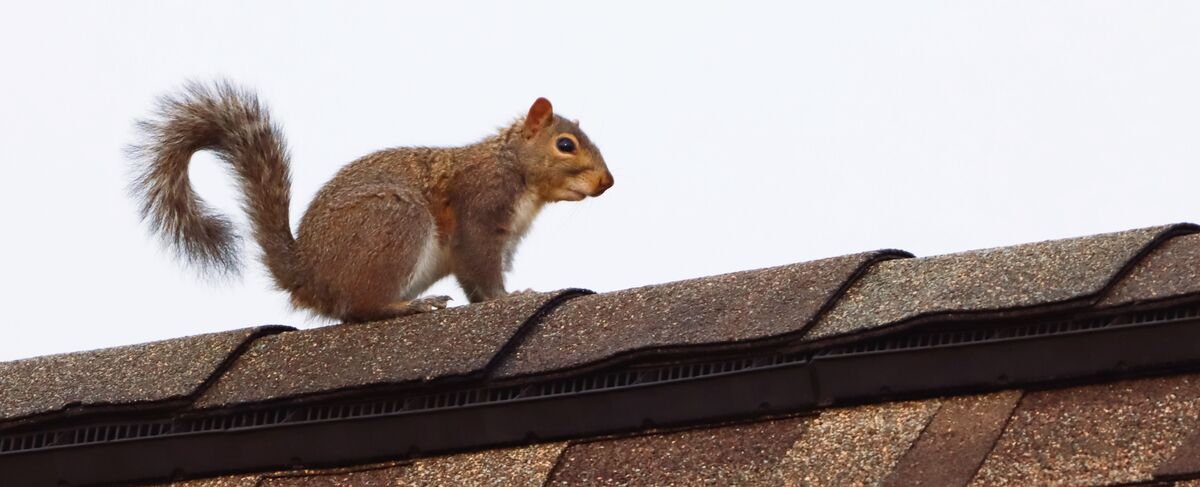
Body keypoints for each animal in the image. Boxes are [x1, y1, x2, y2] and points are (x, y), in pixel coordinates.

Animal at [129, 81, 613, 322]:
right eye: (565, 145)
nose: (607, 182)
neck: (513, 167)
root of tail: (309, 274)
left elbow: (476, 279)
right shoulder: (479, 209)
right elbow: (480, 270)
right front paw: (510, 298)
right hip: (397, 222)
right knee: (362, 306)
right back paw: (407, 305)